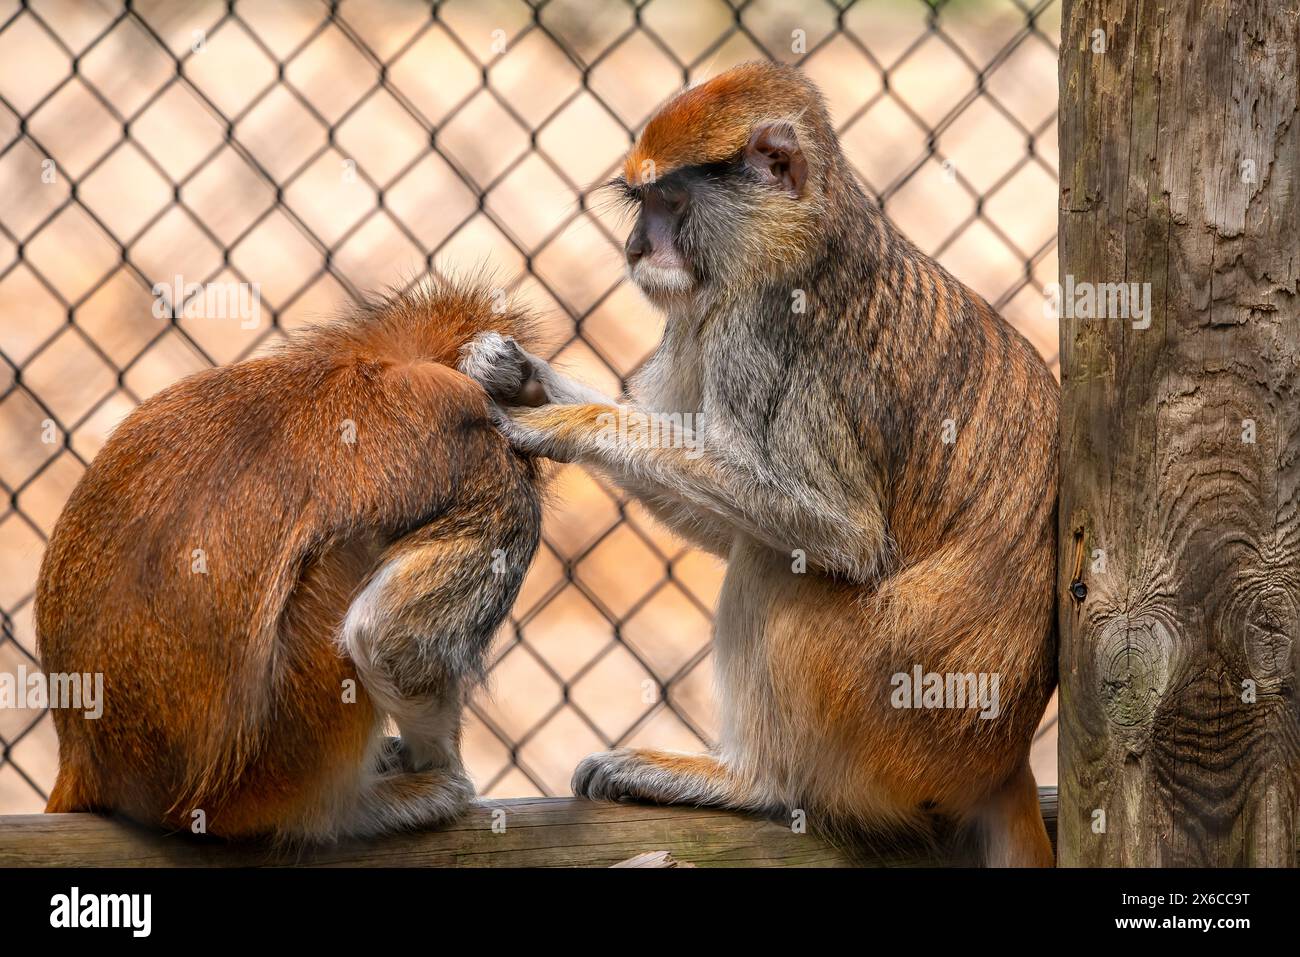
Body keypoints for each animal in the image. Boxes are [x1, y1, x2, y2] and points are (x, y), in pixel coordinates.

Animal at [35, 278, 543, 842]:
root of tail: (87, 759)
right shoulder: (489, 464)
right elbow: (390, 638)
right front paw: (437, 763)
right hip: (266, 775)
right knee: (345, 561)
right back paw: (344, 810)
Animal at [460, 61, 1059, 866]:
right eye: (640, 201)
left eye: (669, 199)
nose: (636, 249)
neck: (799, 237)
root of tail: (1004, 757)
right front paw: (514, 372)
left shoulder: (761, 332)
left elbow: (838, 534)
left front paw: (560, 423)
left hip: (894, 722)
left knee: (781, 561)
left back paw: (753, 781)